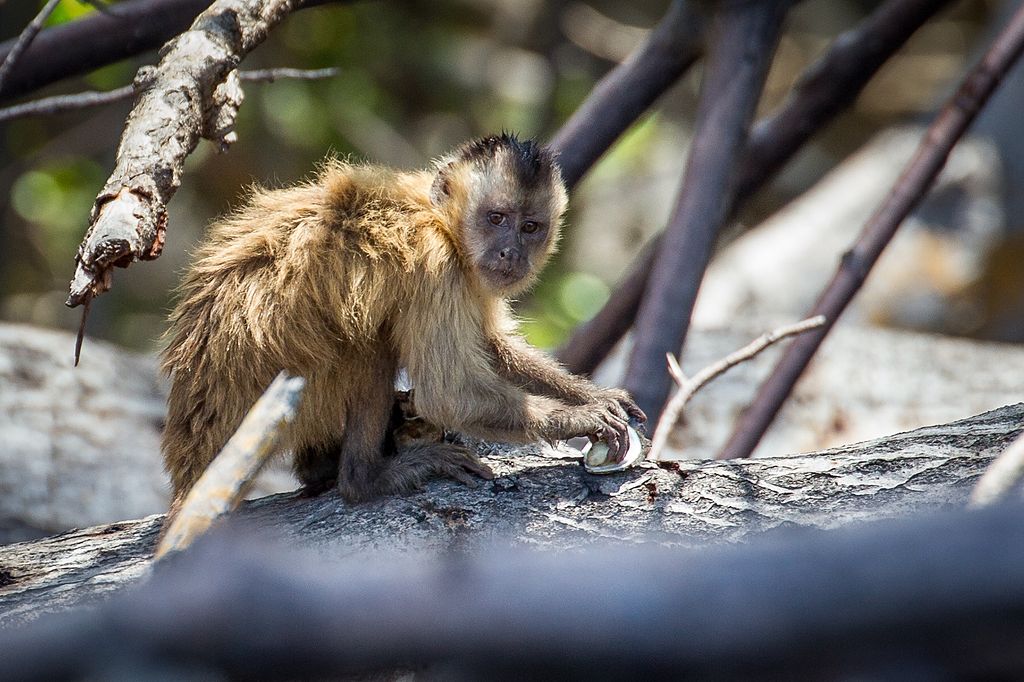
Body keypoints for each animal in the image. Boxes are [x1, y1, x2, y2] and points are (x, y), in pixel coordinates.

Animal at [161, 133, 646, 505]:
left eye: (530, 227)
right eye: (496, 218)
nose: (511, 252)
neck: (440, 219)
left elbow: (490, 345)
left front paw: (593, 396)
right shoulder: (438, 265)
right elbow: (449, 394)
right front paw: (579, 418)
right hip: (278, 403)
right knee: (369, 345)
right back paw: (362, 479)